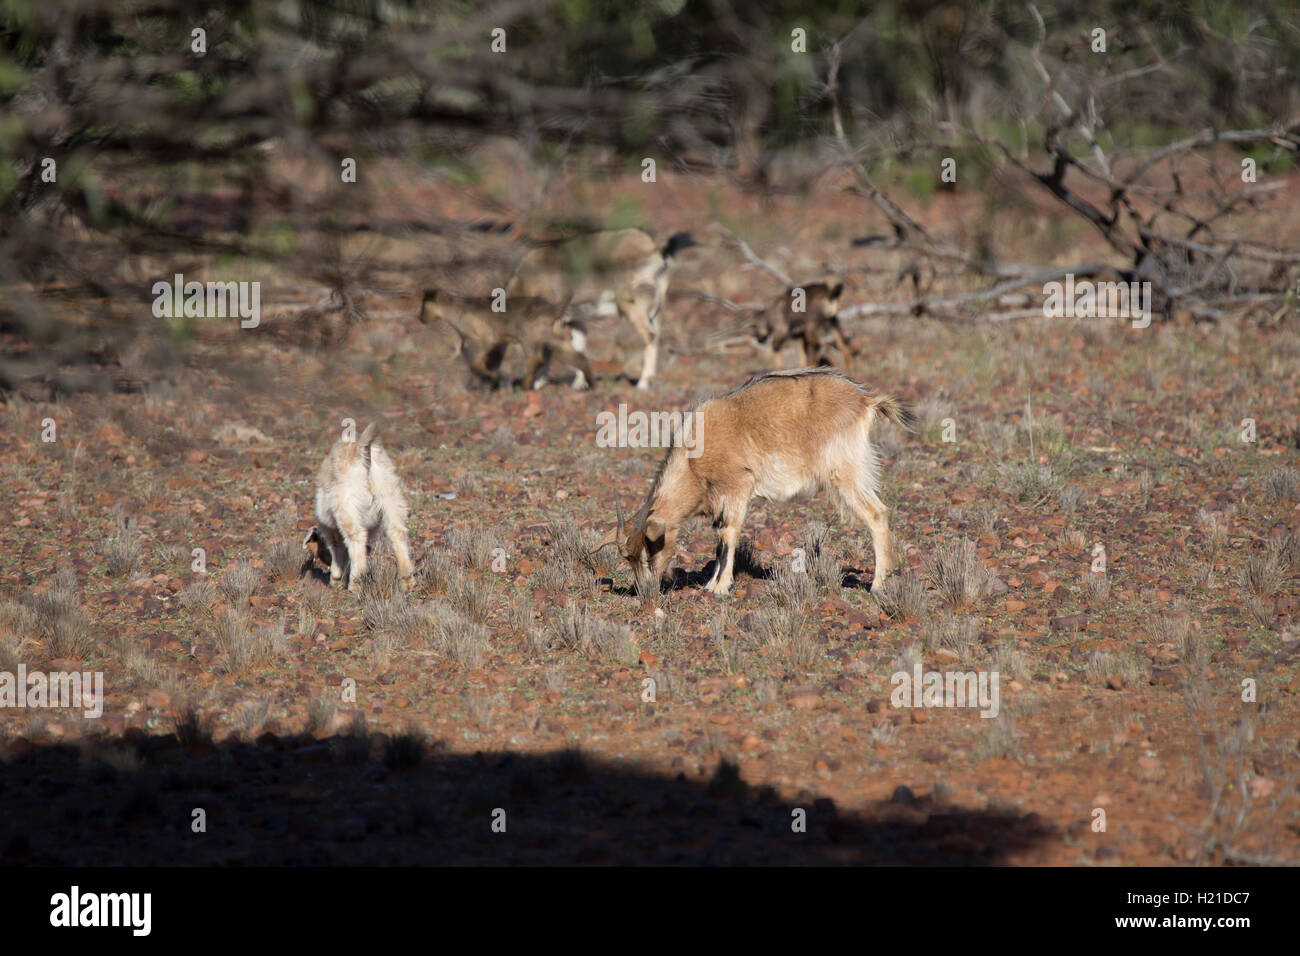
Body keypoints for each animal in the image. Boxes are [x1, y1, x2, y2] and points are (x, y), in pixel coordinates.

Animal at [595, 367, 915, 595]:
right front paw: (711, 584)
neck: (692, 460)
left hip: (845, 472)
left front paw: (719, 588)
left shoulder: (738, 485)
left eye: (650, 550)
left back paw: (877, 586)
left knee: (876, 514)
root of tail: (866, 401)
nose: (645, 590)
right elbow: (719, 538)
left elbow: (728, 534)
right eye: (629, 559)